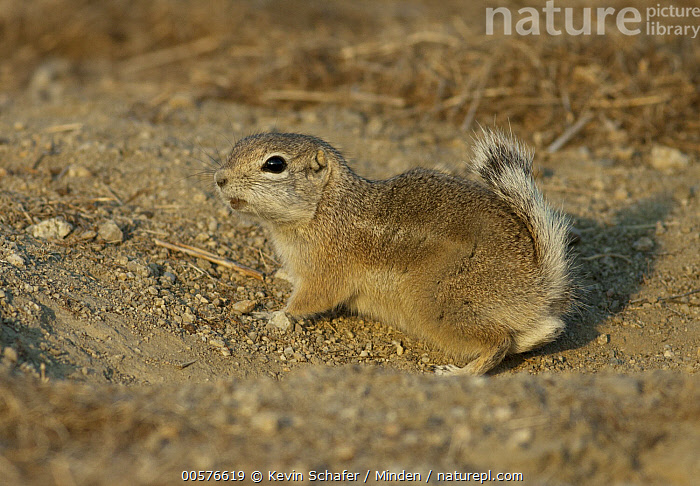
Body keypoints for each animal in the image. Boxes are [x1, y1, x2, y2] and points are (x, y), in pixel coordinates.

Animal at [214, 129, 575, 375]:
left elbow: (307, 302)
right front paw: (282, 275)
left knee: (499, 341)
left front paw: (271, 315)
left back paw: (458, 373)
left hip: (437, 306)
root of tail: (539, 284)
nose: (219, 178)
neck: (323, 210)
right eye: (236, 146)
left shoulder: (327, 273)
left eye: (274, 164)